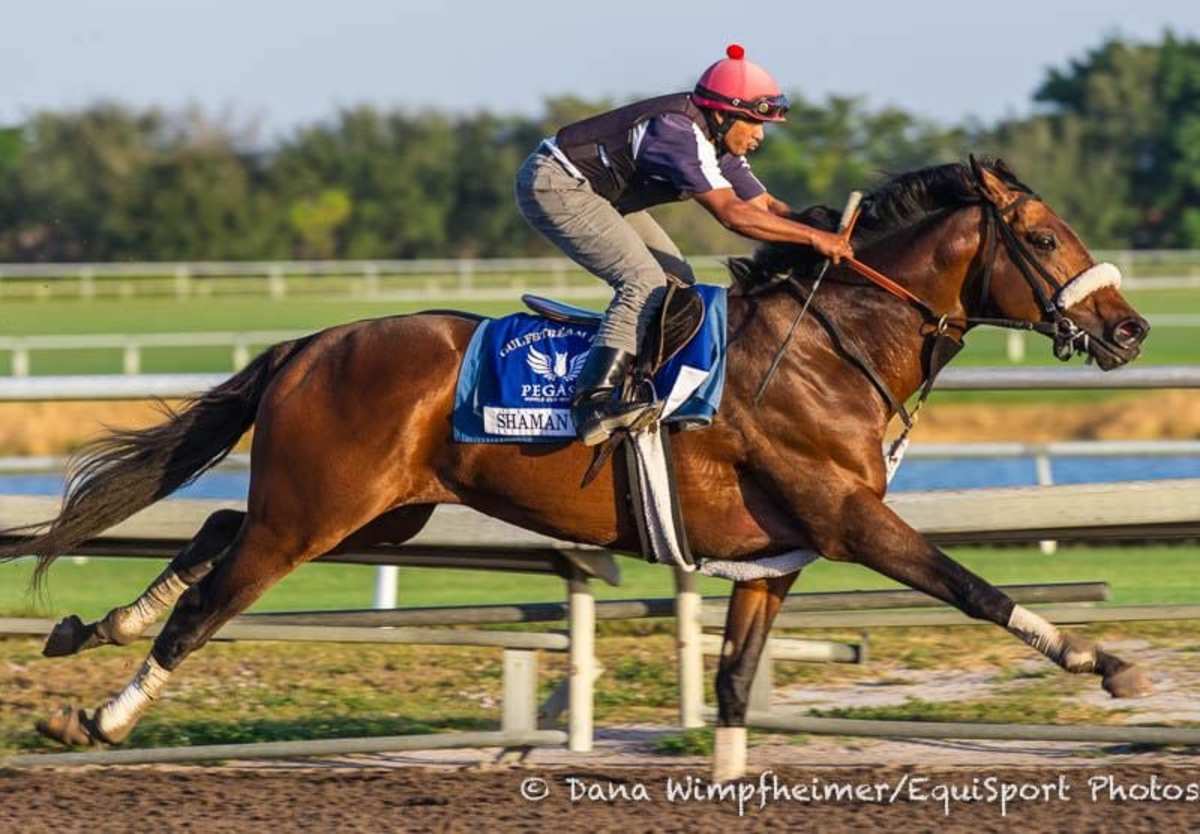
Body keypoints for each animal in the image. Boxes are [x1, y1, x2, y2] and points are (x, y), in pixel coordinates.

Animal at [0, 157, 1152, 781]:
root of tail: (308, 345)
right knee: (212, 602)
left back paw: (101, 623)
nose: (1132, 328)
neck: (832, 344)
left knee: (208, 532)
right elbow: (973, 584)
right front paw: (1102, 660)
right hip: (314, 516)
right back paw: (100, 715)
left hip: (373, 513)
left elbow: (735, 683)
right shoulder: (848, 518)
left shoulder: (774, 559)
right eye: (1045, 235)